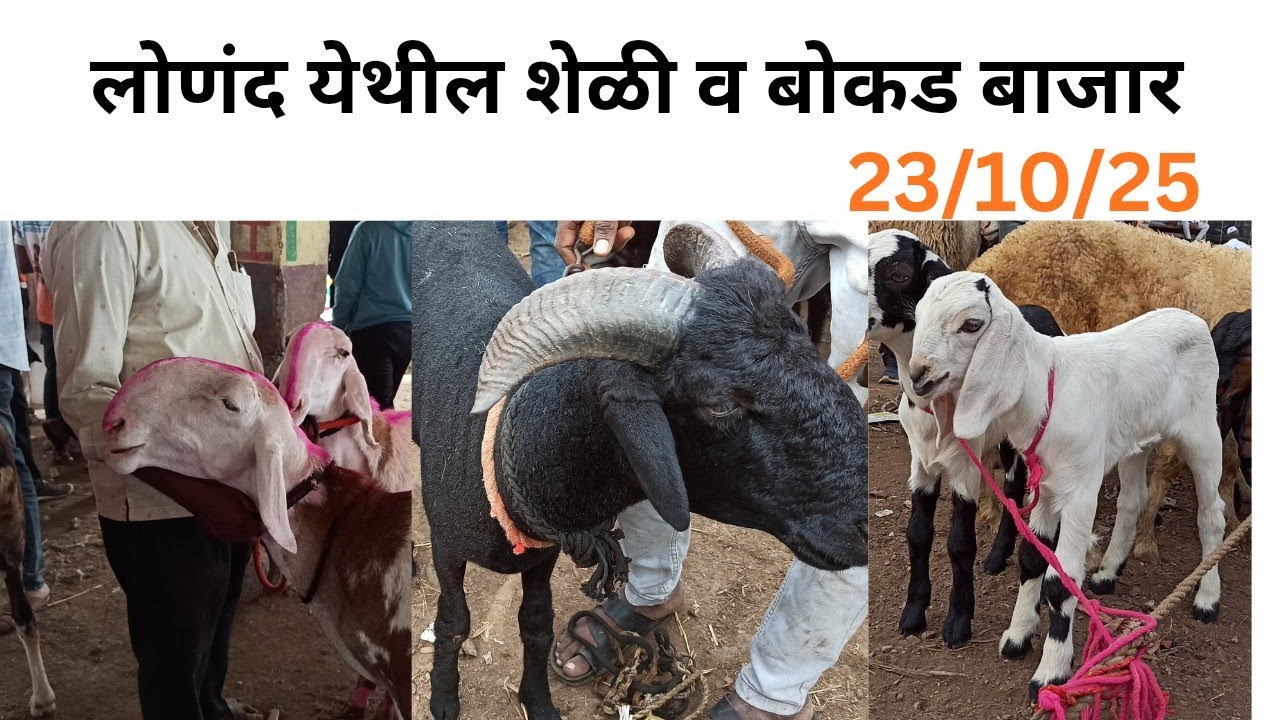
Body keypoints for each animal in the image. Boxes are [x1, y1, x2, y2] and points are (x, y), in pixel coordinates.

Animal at [416, 221, 867, 720]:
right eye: (719, 404)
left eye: (807, 343)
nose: (863, 521)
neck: (497, 449)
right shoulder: (445, 547)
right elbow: (453, 623)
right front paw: (443, 698)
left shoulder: (543, 556)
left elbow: (536, 623)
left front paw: (538, 701)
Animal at [868, 229, 1063, 649]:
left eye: (899, 274)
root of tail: (1039, 310)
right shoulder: (920, 464)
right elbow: (917, 534)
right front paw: (912, 615)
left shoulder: (964, 468)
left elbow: (959, 543)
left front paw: (958, 623)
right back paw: (996, 556)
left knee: (1016, 485)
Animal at [909, 271, 1224, 698]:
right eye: (918, 313)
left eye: (971, 324)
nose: (917, 374)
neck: (1046, 391)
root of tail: (1192, 318)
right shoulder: (1046, 486)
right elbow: (1031, 559)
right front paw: (1018, 634)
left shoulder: (1079, 493)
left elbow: (1061, 581)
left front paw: (1052, 672)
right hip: (1135, 439)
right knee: (1133, 499)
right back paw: (1108, 571)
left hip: (1203, 430)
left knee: (1212, 516)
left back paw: (1207, 597)